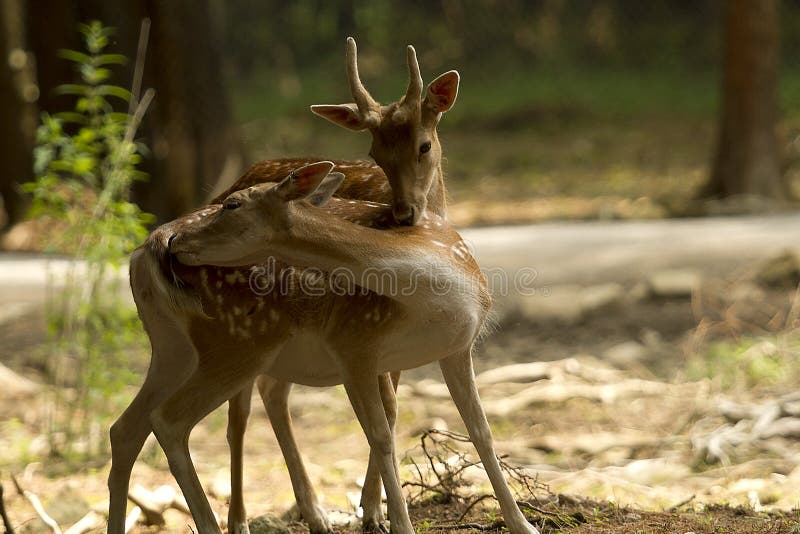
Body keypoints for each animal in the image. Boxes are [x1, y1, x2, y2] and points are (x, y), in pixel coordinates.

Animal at [107, 160, 540, 534]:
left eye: (232, 204)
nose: (179, 241)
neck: (436, 293)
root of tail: (146, 248)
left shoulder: (456, 348)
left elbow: (482, 431)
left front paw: (524, 524)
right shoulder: (353, 343)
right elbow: (381, 436)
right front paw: (399, 525)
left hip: (174, 348)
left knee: (126, 427)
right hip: (237, 341)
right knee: (171, 420)